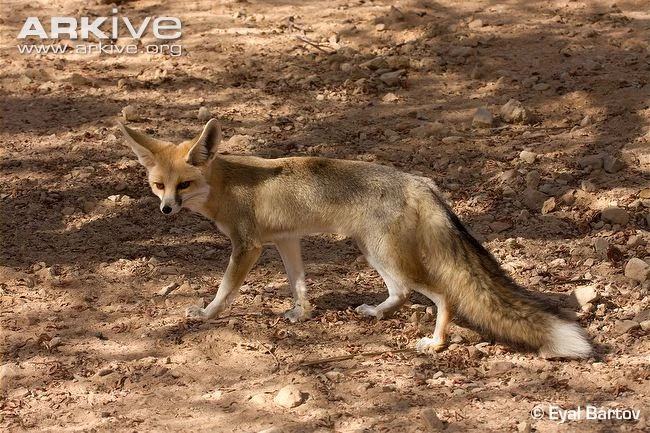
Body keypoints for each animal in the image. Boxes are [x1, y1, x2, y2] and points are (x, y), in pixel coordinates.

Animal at [118, 118, 592, 359]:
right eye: (159, 186)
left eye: (184, 185)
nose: (166, 210)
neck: (225, 185)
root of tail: (420, 182)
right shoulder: (286, 240)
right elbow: (299, 284)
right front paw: (301, 314)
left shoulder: (247, 245)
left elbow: (224, 290)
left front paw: (206, 314)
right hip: (374, 253)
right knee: (400, 293)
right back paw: (376, 312)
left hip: (384, 255)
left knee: (443, 295)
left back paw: (435, 342)